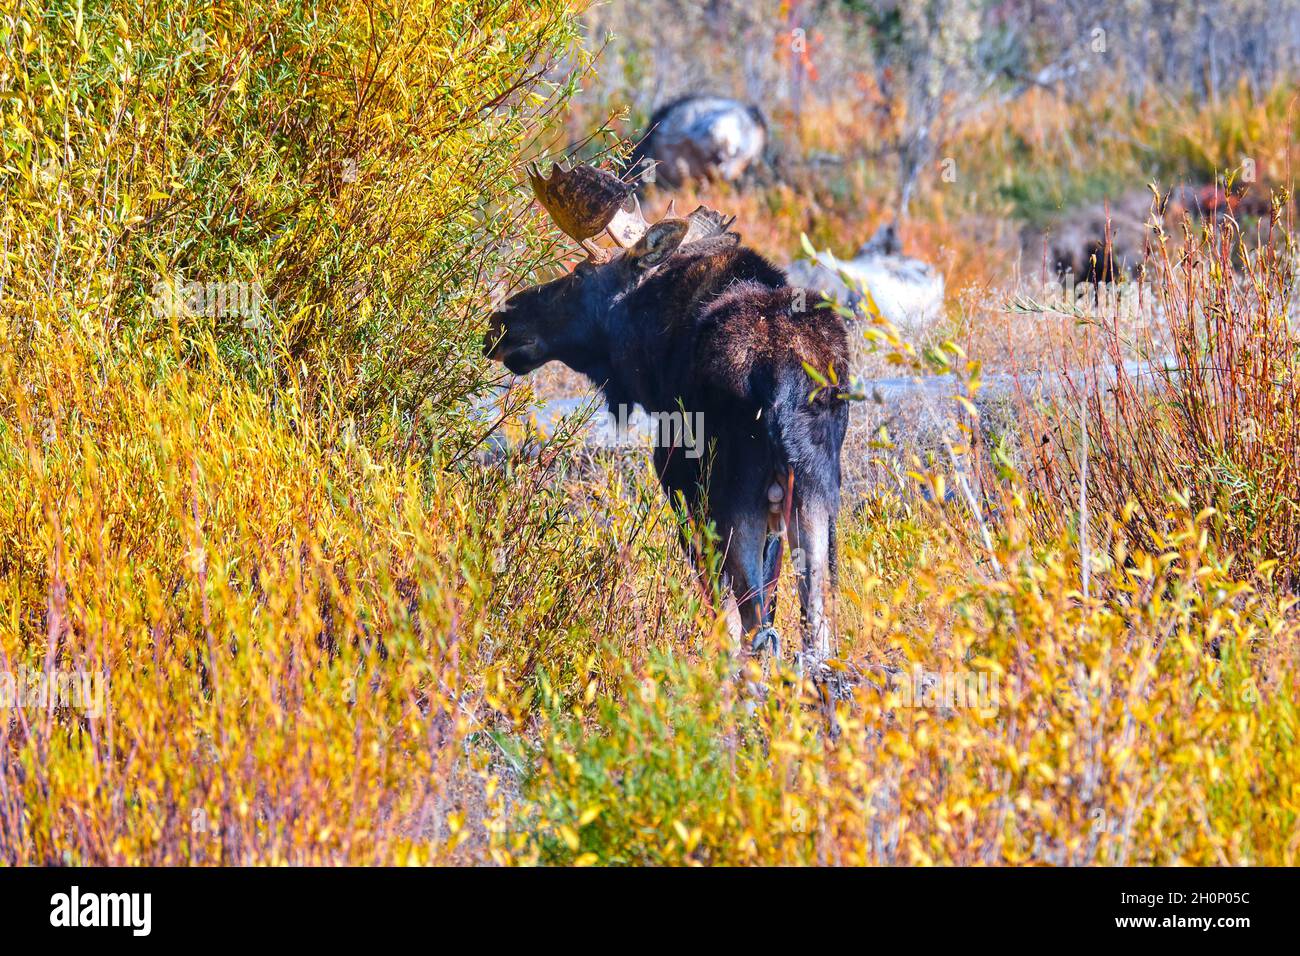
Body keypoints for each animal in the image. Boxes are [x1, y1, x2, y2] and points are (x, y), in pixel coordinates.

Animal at [484, 161, 850, 674]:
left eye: (579, 273)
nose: (502, 321)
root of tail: (784, 378)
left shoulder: (683, 488)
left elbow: (725, 616)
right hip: (814, 492)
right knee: (813, 628)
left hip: (732, 493)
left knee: (757, 627)